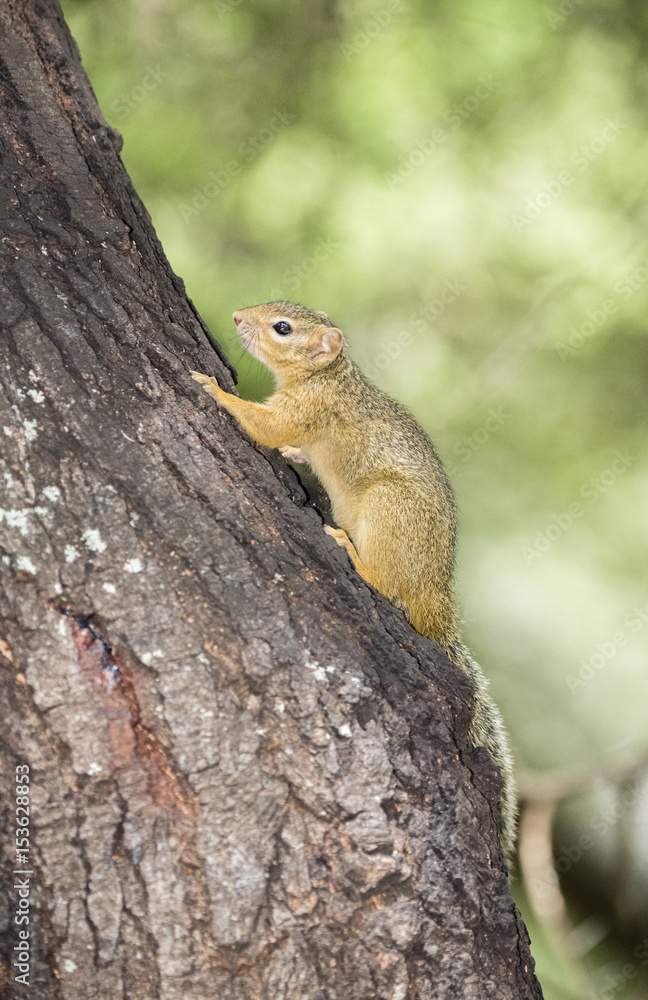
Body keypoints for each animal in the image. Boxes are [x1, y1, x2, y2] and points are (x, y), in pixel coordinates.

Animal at [192, 301, 517, 867]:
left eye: (283, 328)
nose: (235, 316)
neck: (329, 376)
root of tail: (436, 598)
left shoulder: (307, 410)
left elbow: (267, 427)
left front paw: (214, 389)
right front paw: (295, 456)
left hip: (389, 511)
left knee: (388, 587)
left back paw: (353, 556)